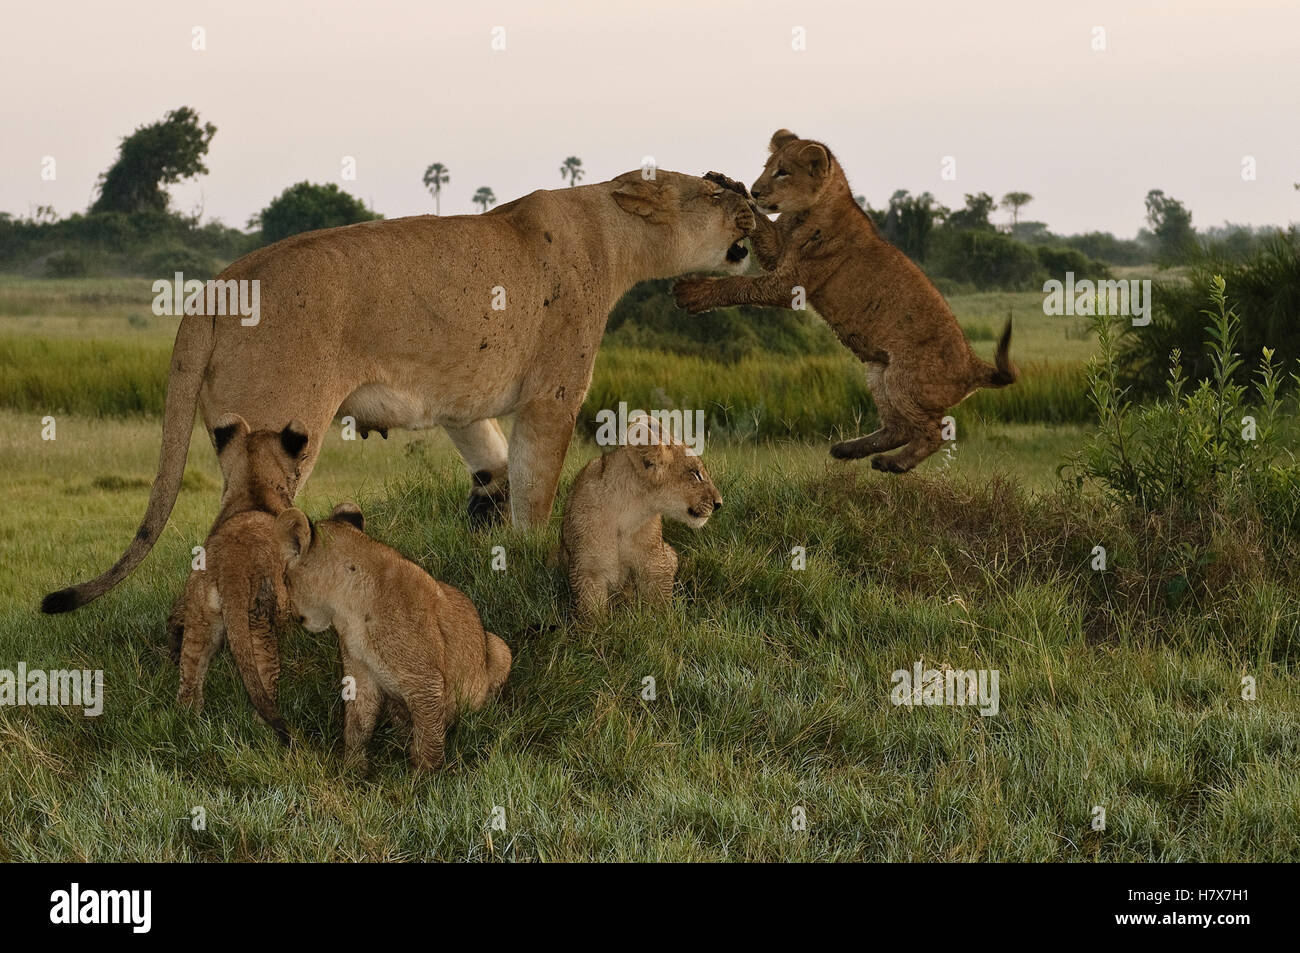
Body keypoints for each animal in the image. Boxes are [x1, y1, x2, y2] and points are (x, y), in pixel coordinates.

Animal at [172, 413, 310, 744]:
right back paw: (264, 728)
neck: (253, 486)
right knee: (264, 678)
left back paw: (187, 721)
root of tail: (231, 569)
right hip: (259, 622)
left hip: (200, 619)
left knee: (190, 674)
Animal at [275, 502, 512, 771]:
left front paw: (425, 776)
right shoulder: (360, 673)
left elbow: (428, 737)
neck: (348, 611)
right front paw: (353, 769)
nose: (294, 614)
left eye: (285, 580)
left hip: (499, 646)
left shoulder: (425, 680)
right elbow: (357, 725)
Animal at [557, 414, 722, 618]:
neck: (627, 512)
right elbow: (592, 614)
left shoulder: (657, 564)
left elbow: (659, 608)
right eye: (695, 474)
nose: (719, 504)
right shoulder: (588, 570)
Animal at [674, 132, 1018, 472]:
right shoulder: (776, 253)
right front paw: (727, 184)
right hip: (879, 372)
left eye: (783, 172)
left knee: (936, 430)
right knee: (900, 428)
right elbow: (760, 226)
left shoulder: (789, 285)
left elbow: (737, 285)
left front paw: (692, 292)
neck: (806, 211)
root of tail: (974, 365)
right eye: (767, 167)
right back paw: (847, 450)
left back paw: (893, 464)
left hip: (903, 378)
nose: (757, 191)